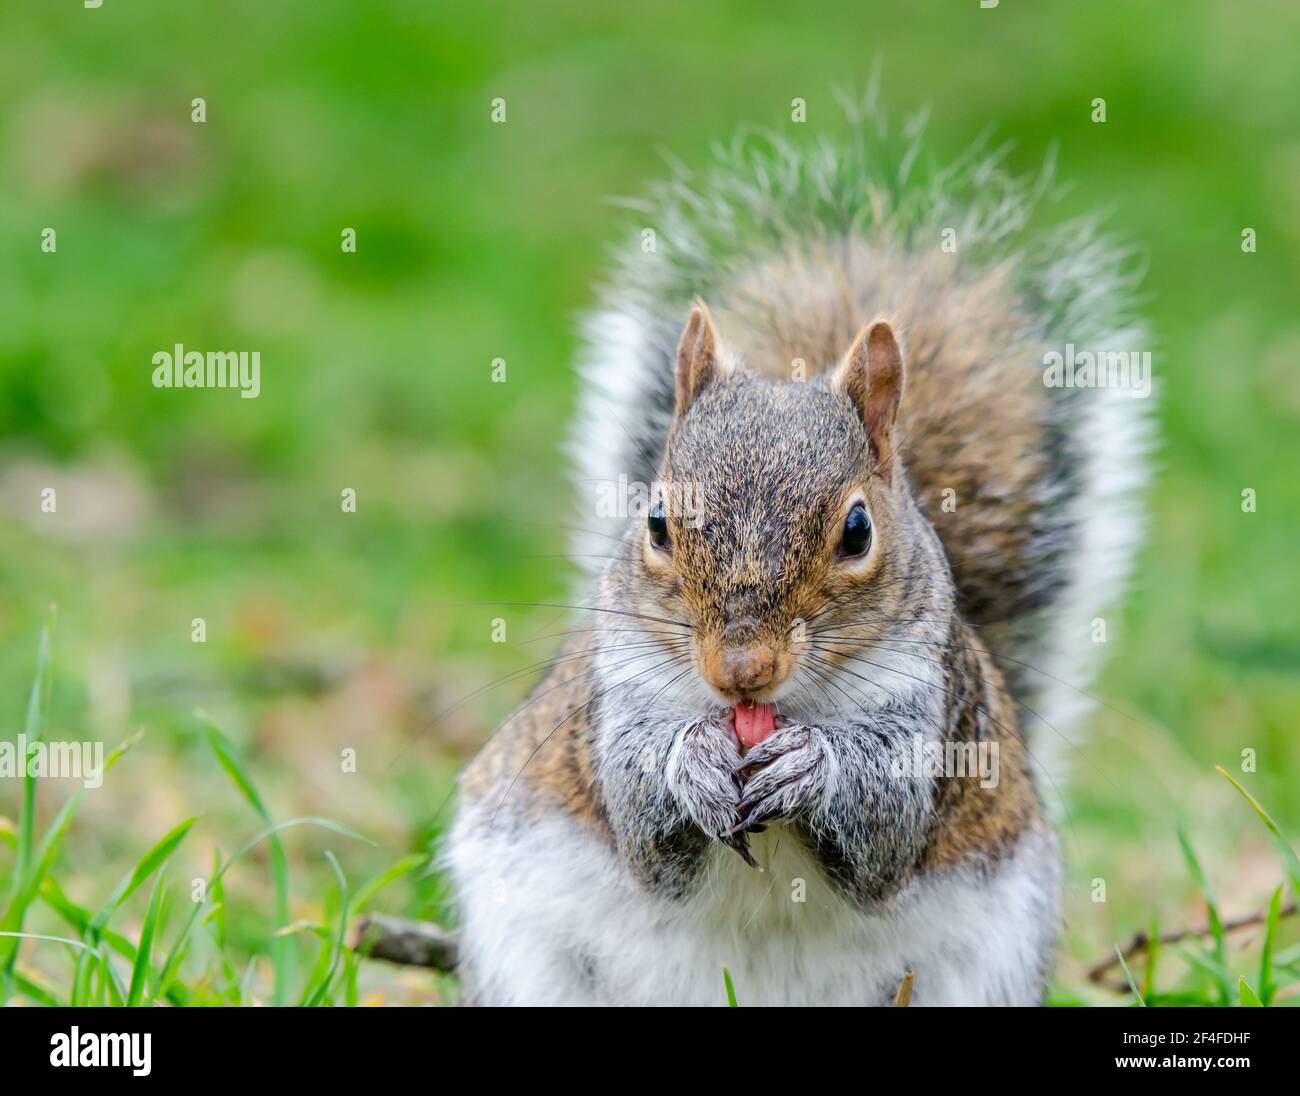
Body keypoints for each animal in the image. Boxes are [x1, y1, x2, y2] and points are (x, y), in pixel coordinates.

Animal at [448, 113, 1152, 1006]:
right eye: (655, 522)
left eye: (857, 531)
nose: (741, 671)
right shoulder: (619, 692)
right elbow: (642, 816)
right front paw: (692, 760)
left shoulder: (932, 709)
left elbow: (883, 837)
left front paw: (811, 766)